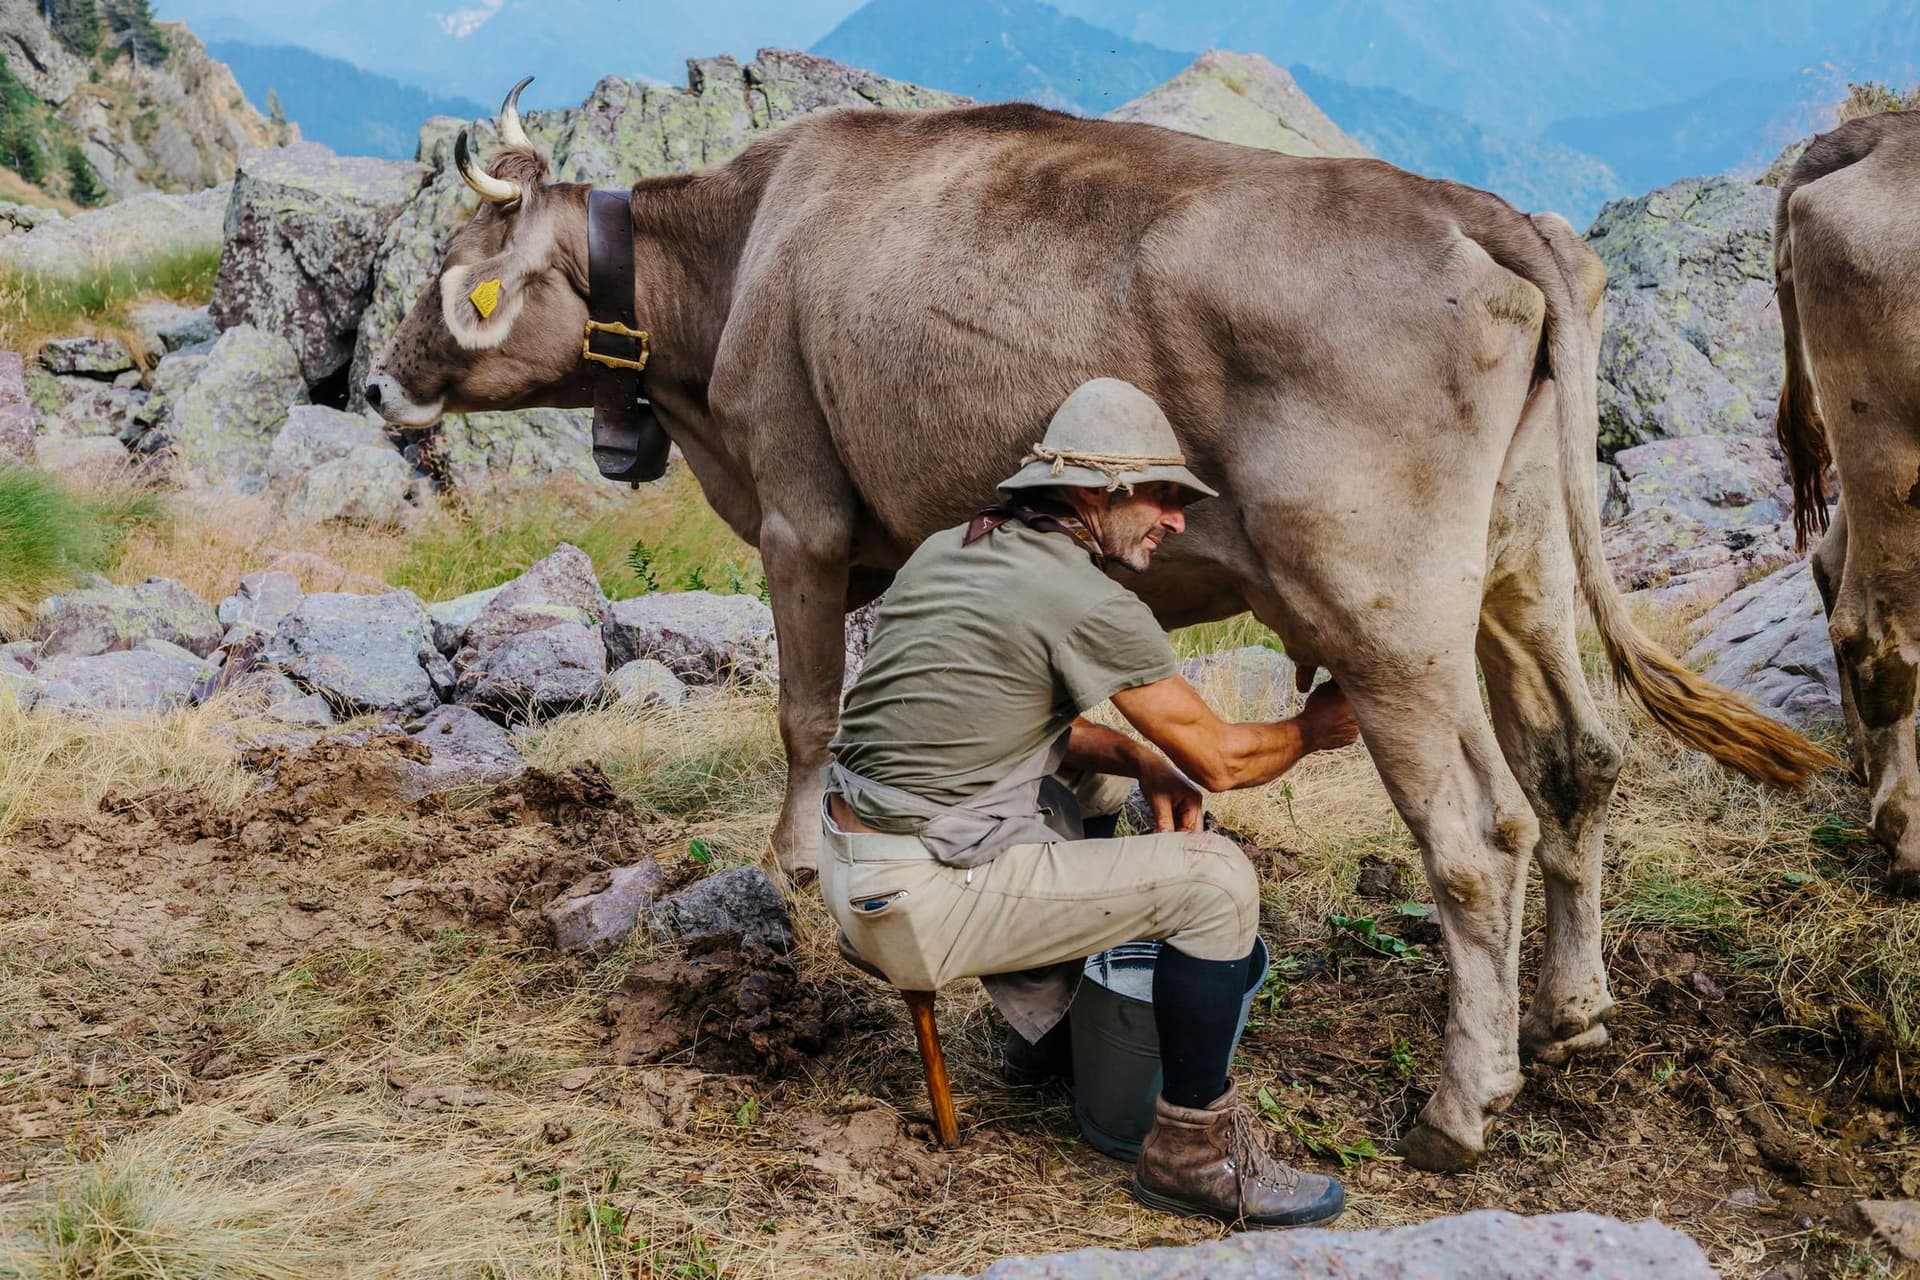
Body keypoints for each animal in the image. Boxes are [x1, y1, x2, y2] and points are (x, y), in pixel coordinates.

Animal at [366, 84, 1837, 1170]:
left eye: (453, 269)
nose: (379, 385)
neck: (731, 264)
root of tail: (1482, 213)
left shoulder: (801, 515)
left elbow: (806, 709)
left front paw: (788, 862)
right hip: (1517, 573)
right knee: (1580, 761)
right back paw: (1575, 1016)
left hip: (1390, 615)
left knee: (1480, 839)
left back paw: (1463, 1102)